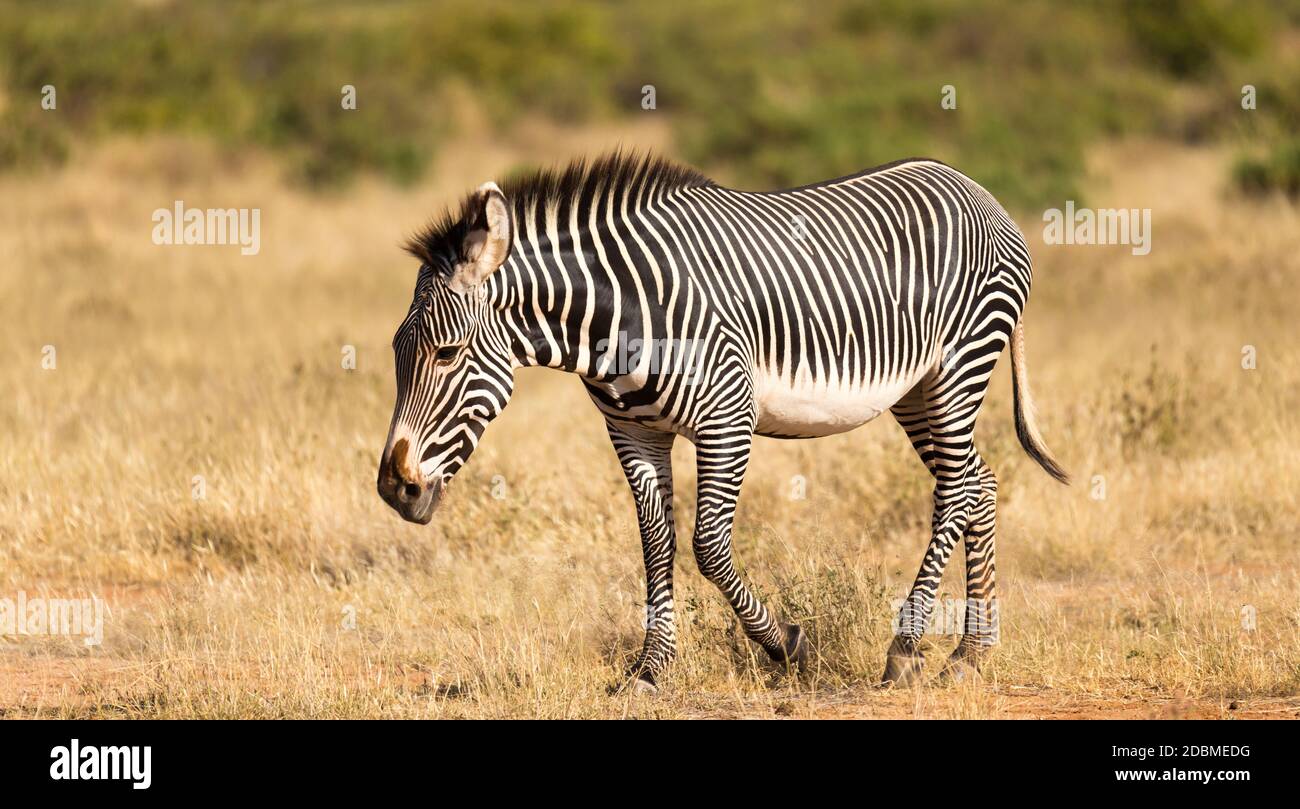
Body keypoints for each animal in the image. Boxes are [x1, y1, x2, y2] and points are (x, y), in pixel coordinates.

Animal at [377, 152, 1067, 692]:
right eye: (396, 351)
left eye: (446, 354)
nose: (394, 489)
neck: (617, 317)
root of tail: (978, 189)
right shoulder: (634, 431)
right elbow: (656, 545)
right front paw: (650, 670)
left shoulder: (727, 416)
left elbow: (707, 546)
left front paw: (785, 644)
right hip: (916, 389)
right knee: (979, 484)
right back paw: (970, 652)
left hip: (959, 366)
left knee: (955, 492)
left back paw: (905, 648)